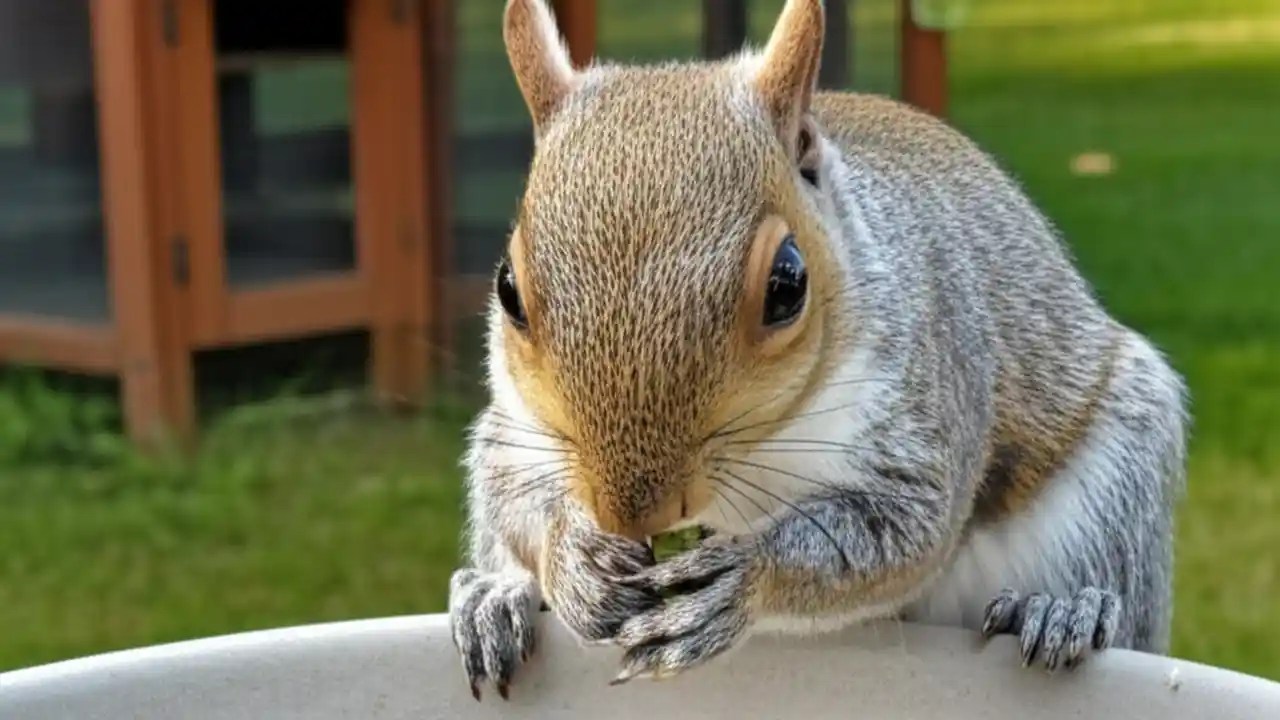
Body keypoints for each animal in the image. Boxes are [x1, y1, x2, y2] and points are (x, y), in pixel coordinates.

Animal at [448, 0, 1189, 701]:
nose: (630, 515)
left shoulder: (923, 404)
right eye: (507, 289)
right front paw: (578, 560)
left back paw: (1066, 612)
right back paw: (493, 600)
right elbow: (517, 500)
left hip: (1114, 481)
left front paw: (741, 579)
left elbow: (901, 531)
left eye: (787, 285)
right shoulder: (517, 432)